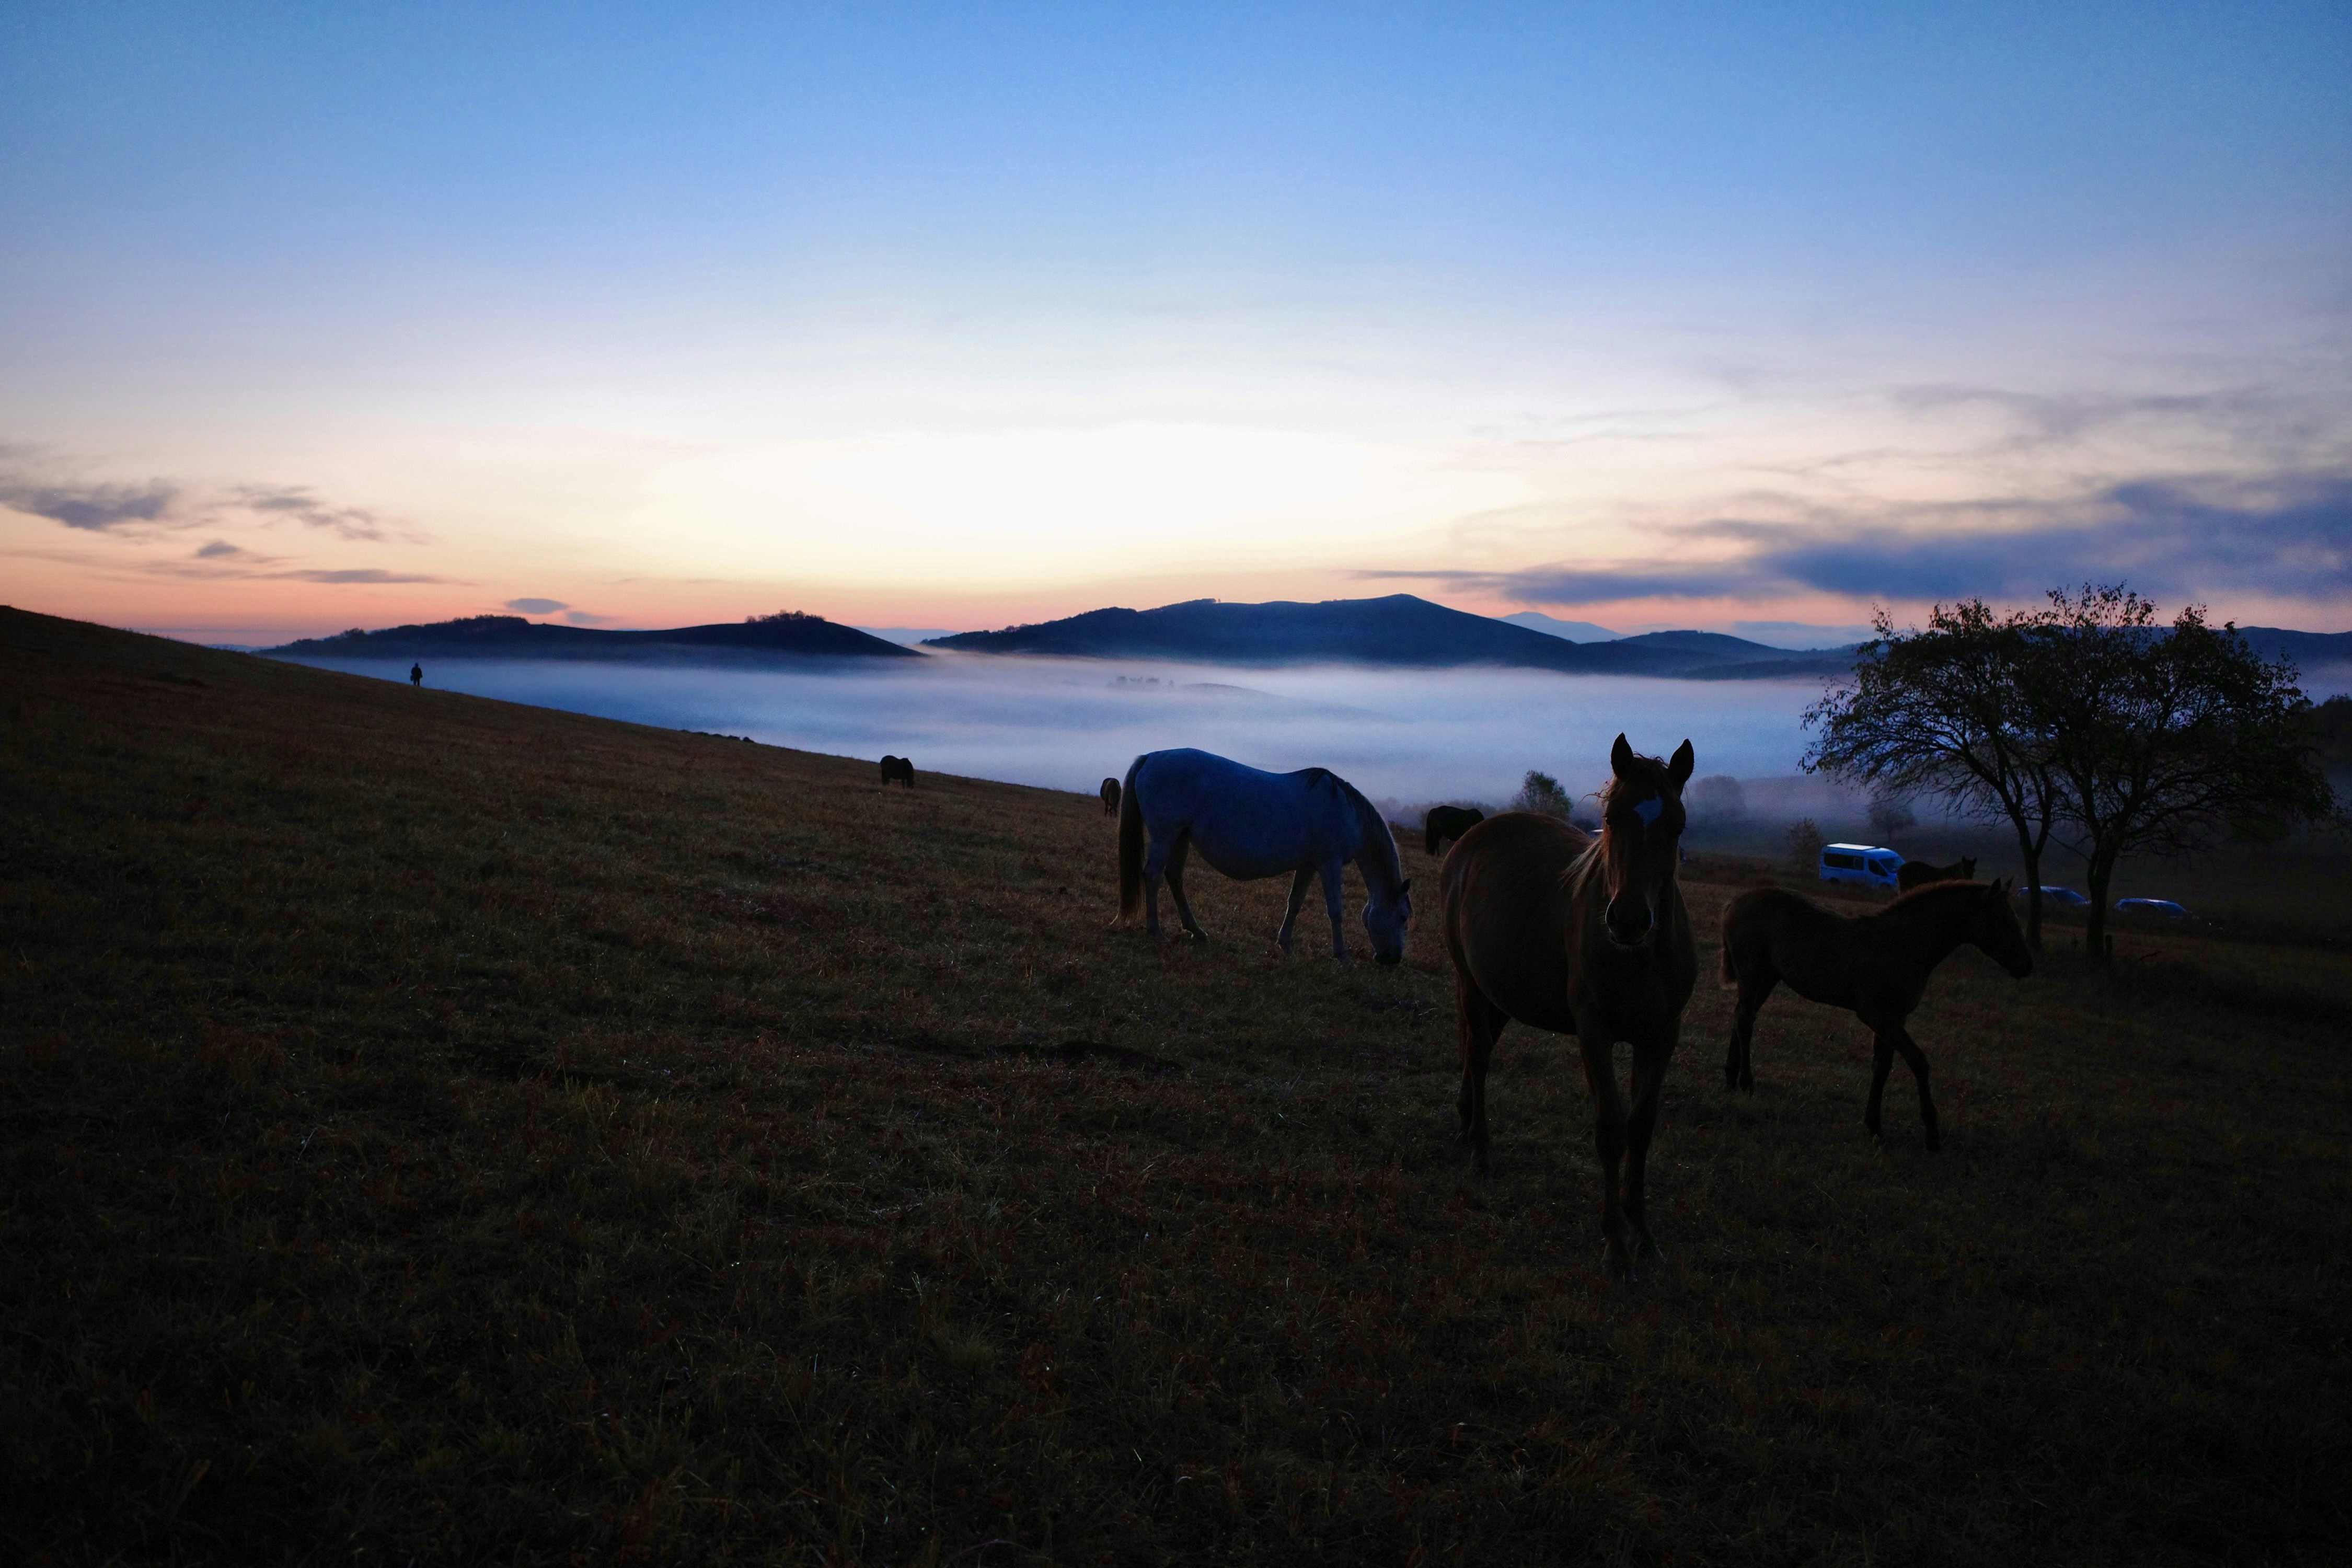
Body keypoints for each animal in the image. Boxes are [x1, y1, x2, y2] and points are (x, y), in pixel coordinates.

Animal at [1116, 748, 1411, 964]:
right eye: (1404, 917)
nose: (1392, 960)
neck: (1346, 811)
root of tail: (1151, 757)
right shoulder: (1330, 864)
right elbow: (1335, 911)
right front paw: (1343, 957)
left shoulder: (1308, 866)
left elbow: (1295, 903)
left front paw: (1286, 945)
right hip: (1165, 836)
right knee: (1153, 876)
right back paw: (1156, 932)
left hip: (1180, 837)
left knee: (1174, 877)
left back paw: (1196, 931)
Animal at [1441, 734, 1697, 1280]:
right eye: (1612, 818)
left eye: (1676, 825)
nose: (1628, 921)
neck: (1639, 957)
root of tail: (1470, 839)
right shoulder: (1594, 1032)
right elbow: (1611, 1130)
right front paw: (1616, 1247)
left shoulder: (1661, 1036)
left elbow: (1641, 1128)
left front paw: (1642, 1233)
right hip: (1472, 985)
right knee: (1478, 1057)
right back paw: (1481, 1151)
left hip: (1500, 994)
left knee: (1477, 1051)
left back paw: (1466, 1125)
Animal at [1719, 879, 2031, 1149]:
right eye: (2003, 920)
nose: (2026, 966)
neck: (1902, 945)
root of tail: (1736, 900)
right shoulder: (1877, 1016)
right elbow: (1918, 1061)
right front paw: (1932, 1134)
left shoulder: (1895, 1017)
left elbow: (1882, 1067)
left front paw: (1875, 1127)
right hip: (1752, 972)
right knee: (1745, 1021)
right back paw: (1746, 1084)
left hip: (1768, 977)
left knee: (1740, 1015)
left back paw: (1731, 1079)